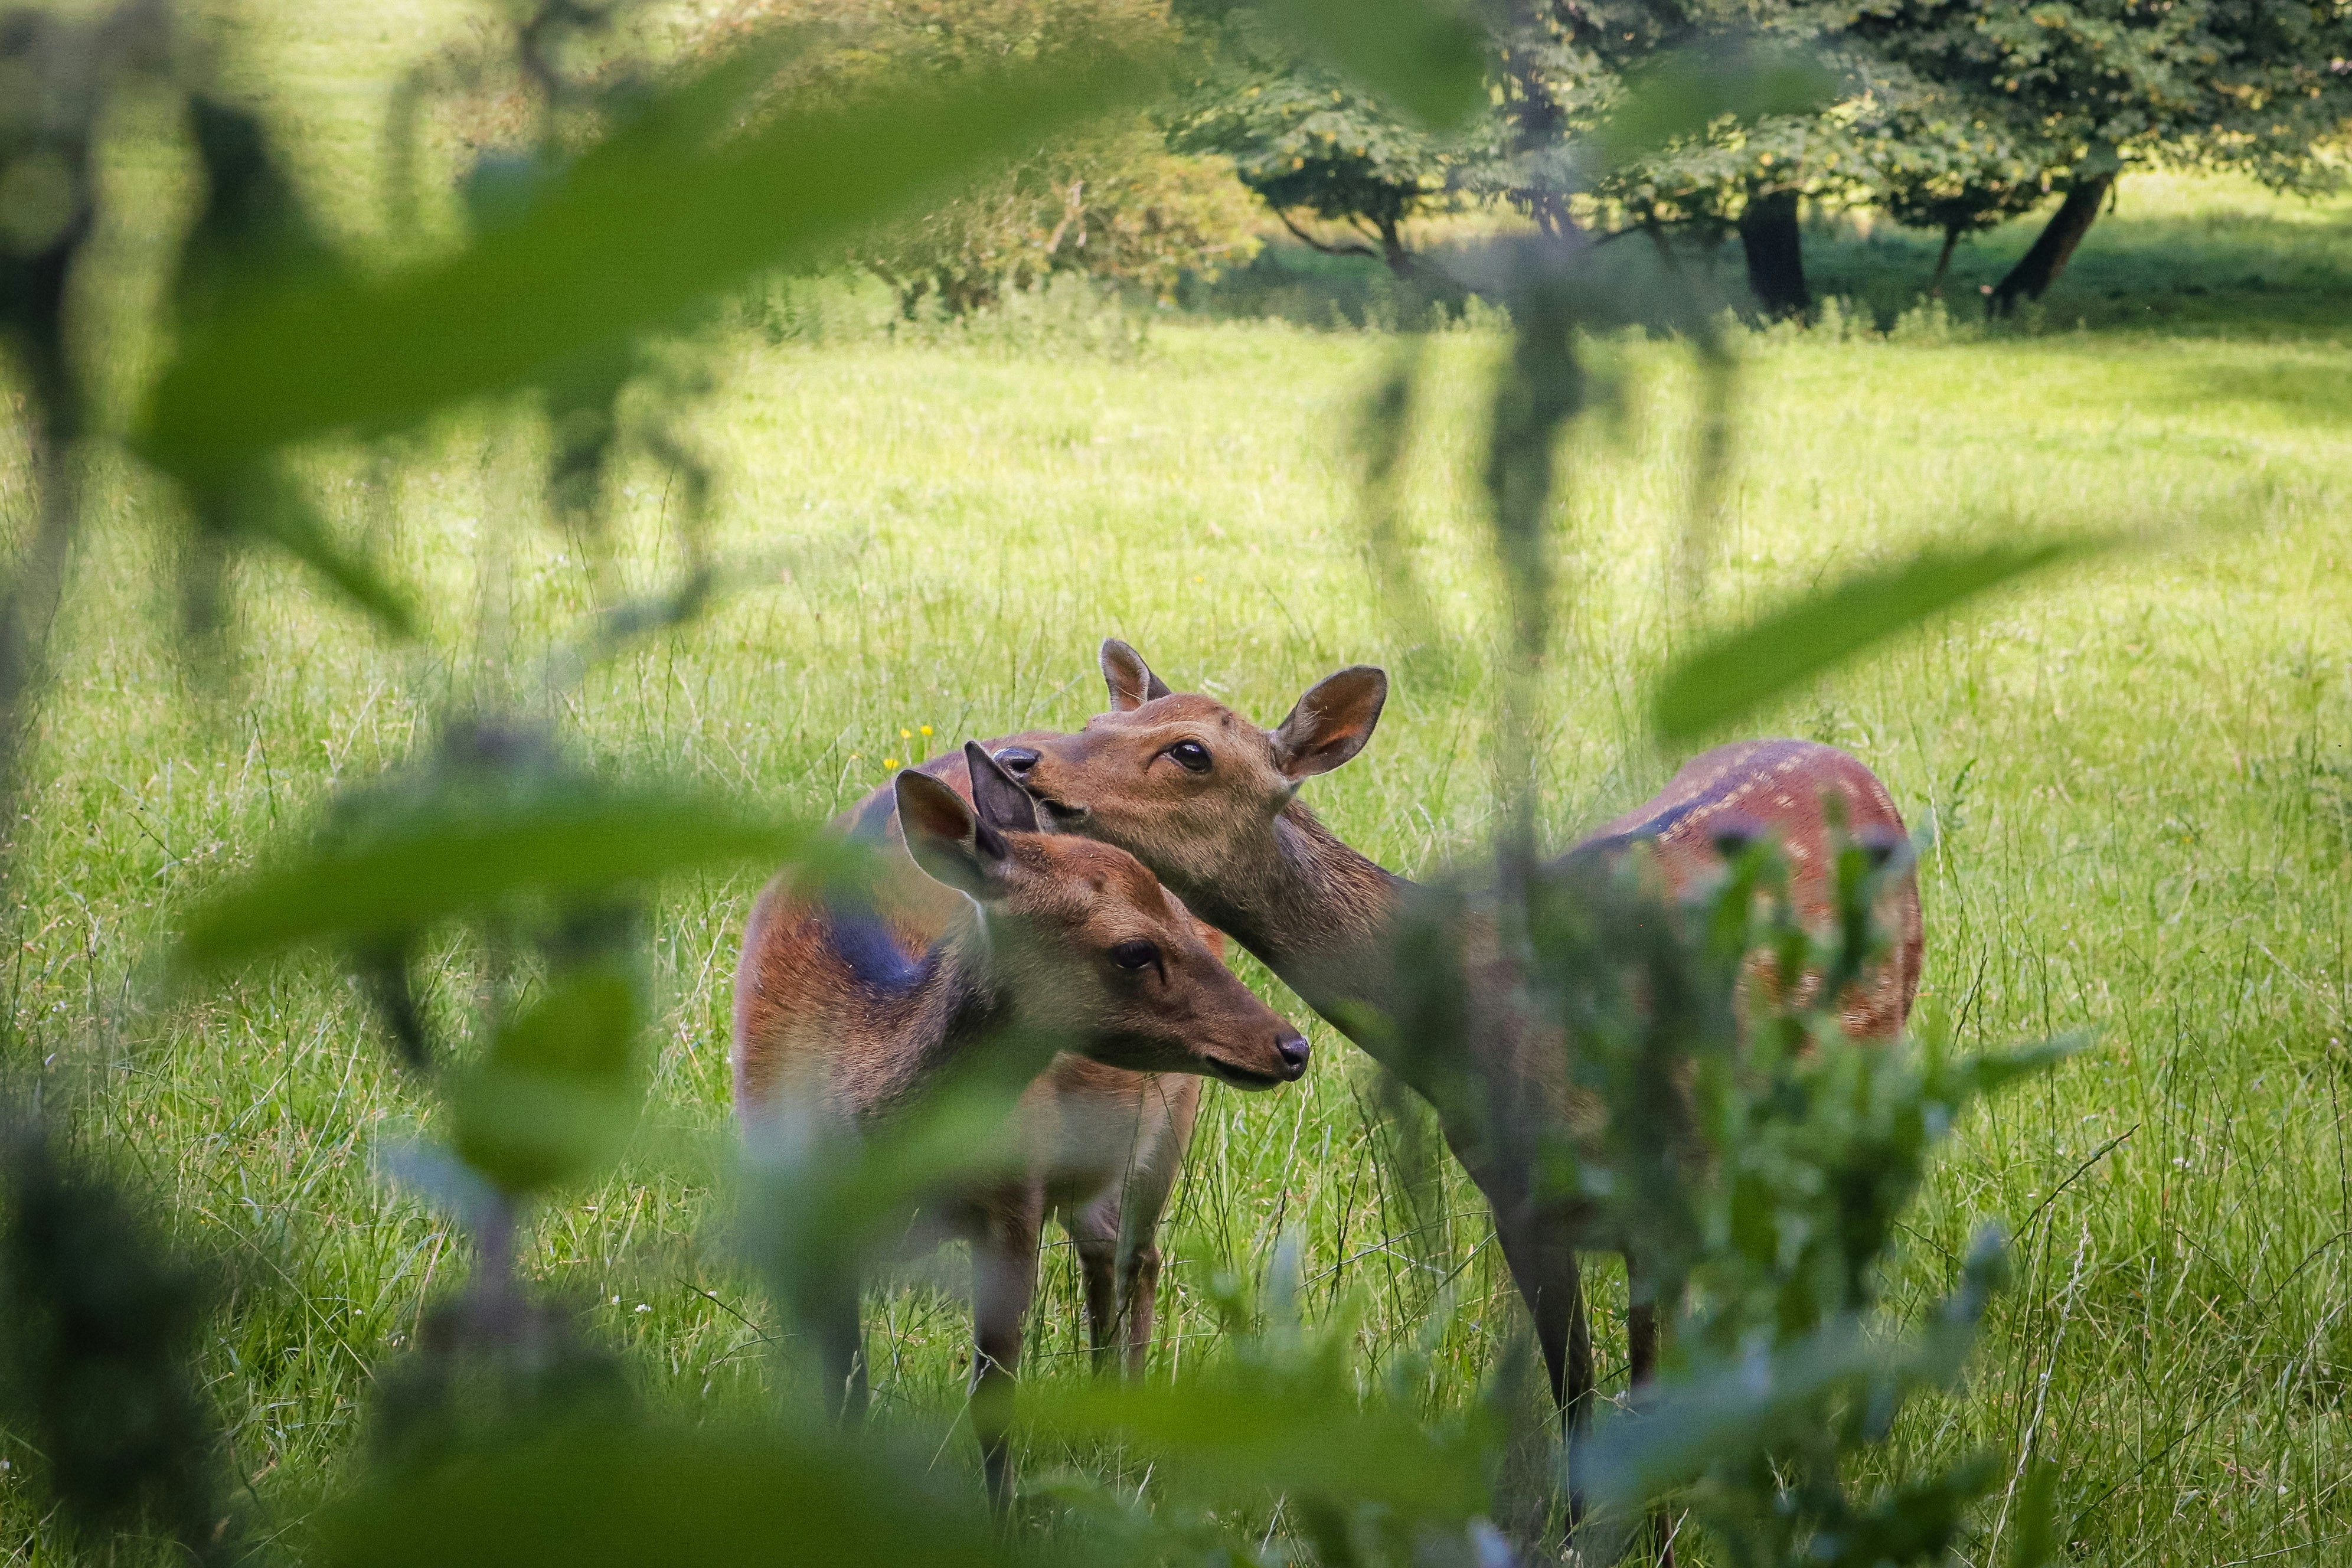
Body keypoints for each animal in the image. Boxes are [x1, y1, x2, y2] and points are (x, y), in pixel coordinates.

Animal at [732, 740, 1311, 1509]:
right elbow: (845, 1391)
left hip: (1168, 1121)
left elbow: (993, 1397)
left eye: (1185, 919)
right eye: (1133, 949)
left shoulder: (1014, 1199)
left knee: (1138, 1256)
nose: (1292, 1045)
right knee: (1103, 1247)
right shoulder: (802, 1217)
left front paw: (1002, 1517)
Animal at [992, 641, 1923, 1544]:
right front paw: (1577, 1535)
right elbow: (1576, 1391)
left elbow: (1648, 1390)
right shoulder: (1519, 1202)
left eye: (1191, 750)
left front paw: (1657, 1540)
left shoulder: (1661, 1190)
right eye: (1098, 720)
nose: (1016, 758)